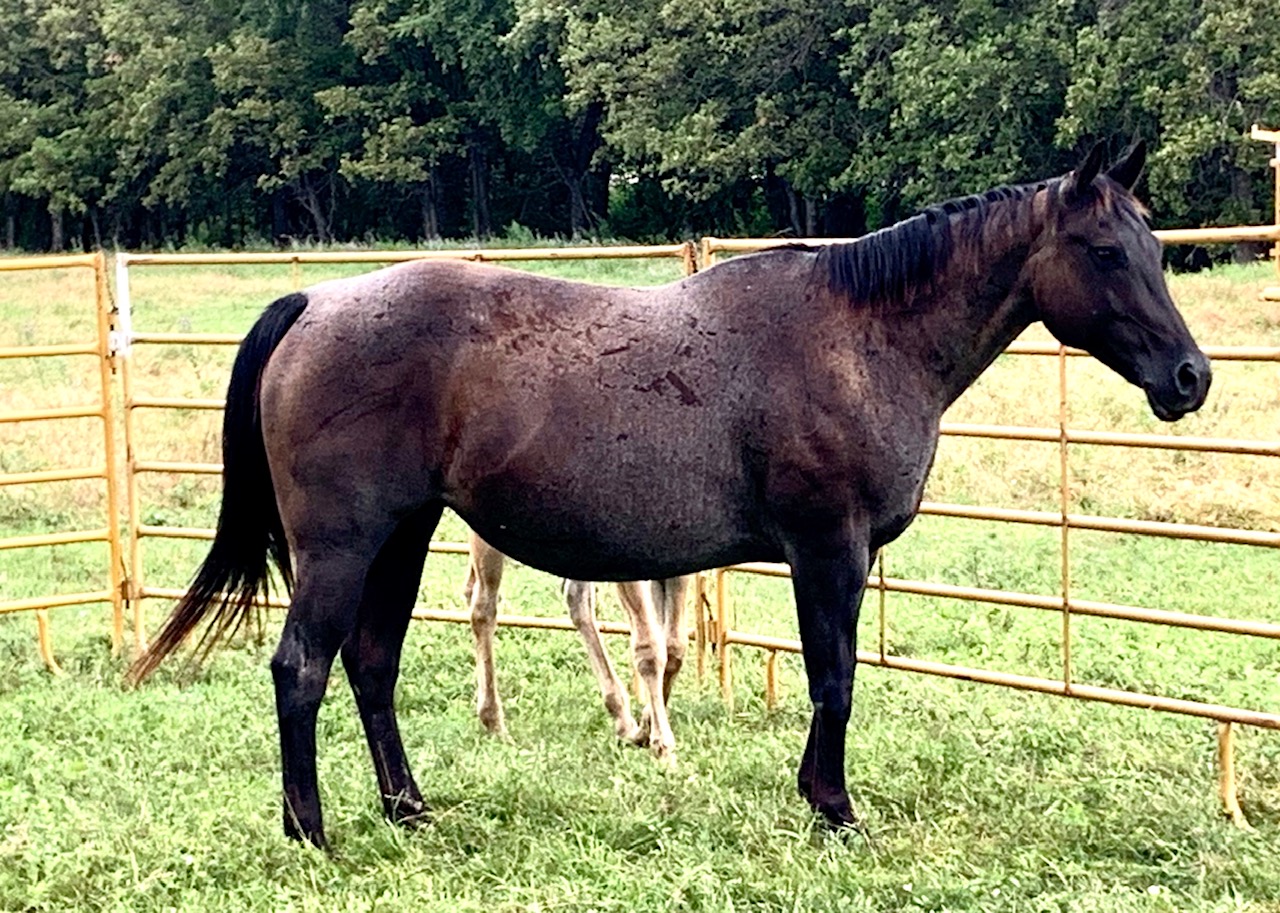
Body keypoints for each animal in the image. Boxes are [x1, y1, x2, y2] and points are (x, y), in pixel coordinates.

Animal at [464, 531, 690, 758]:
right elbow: (649, 647)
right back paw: (494, 723)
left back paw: (624, 721)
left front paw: (646, 726)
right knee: (482, 606)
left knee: (575, 598)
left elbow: (674, 646)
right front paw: (663, 747)